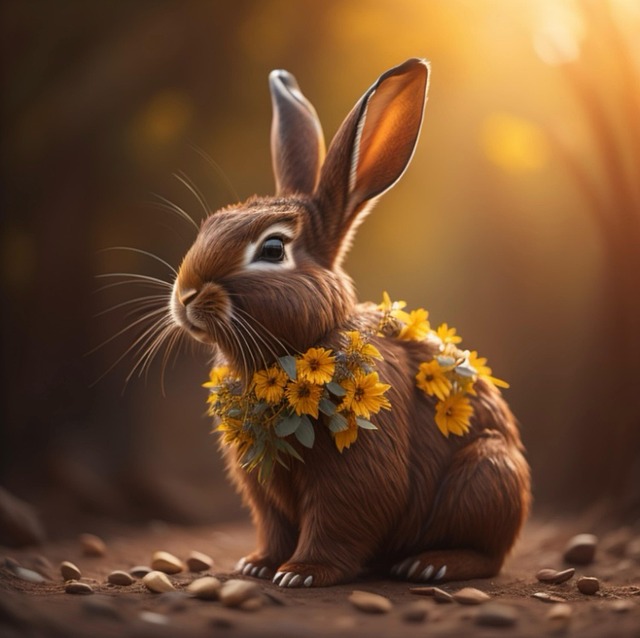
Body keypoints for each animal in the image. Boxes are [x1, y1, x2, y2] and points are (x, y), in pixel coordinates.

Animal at [170, 58, 531, 588]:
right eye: (209, 225)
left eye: (273, 249)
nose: (185, 295)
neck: (296, 351)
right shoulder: (262, 485)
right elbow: (273, 527)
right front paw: (258, 565)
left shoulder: (356, 469)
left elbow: (339, 519)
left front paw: (300, 574)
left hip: (486, 475)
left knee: (487, 552)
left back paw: (432, 564)